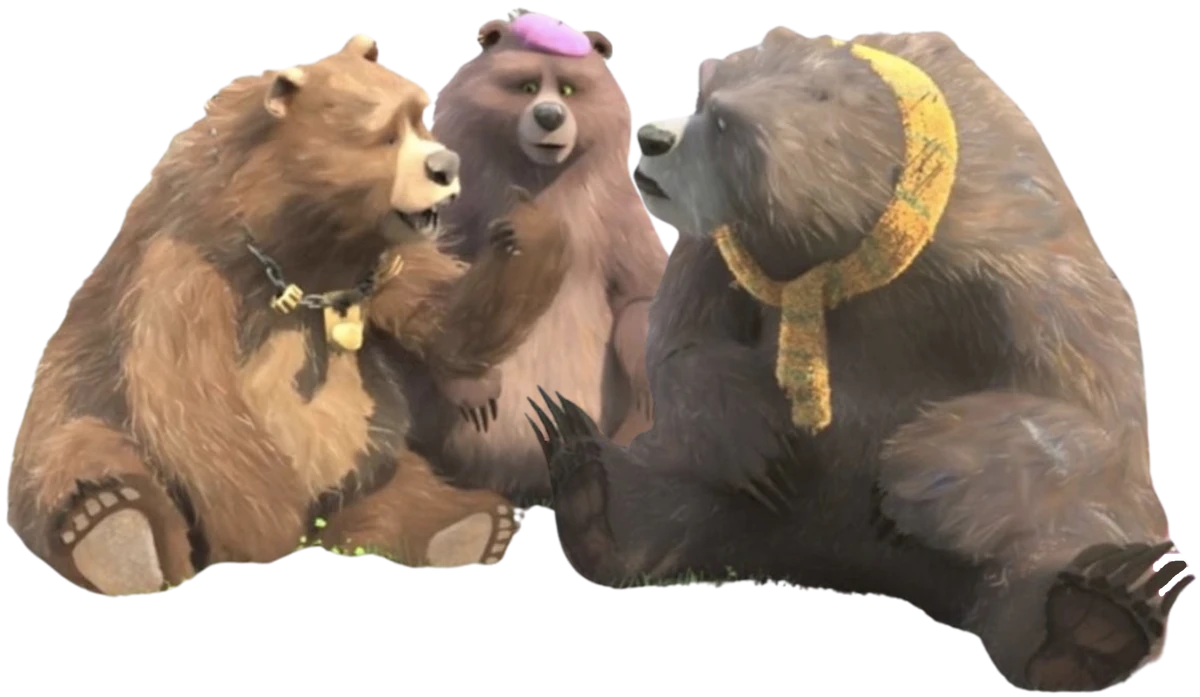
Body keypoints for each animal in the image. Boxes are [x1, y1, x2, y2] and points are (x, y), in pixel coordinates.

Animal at [8, 33, 570, 598]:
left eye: (417, 118)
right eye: (386, 136)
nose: (446, 166)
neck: (304, 247)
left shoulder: (380, 270)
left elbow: (446, 318)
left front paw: (529, 224)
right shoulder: (182, 279)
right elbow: (196, 403)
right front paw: (258, 535)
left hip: (378, 460)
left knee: (398, 487)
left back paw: (468, 526)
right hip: (70, 424)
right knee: (85, 454)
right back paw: (116, 531)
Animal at [393, 13, 668, 506]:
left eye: (569, 89)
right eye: (524, 85)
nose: (549, 115)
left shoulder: (617, 216)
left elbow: (641, 295)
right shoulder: (462, 211)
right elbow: (435, 301)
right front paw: (476, 391)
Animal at [529, 29, 1193, 692]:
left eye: (721, 121)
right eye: (704, 98)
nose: (651, 137)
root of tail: (841, 561)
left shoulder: (1010, 254)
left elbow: (1083, 398)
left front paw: (908, 477)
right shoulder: (726, 250)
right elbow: (683, 342)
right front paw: (766, 448)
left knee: (1059, 542)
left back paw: (1096, 613)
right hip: (732, 498)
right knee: (672, 481)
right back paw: (590, 486)